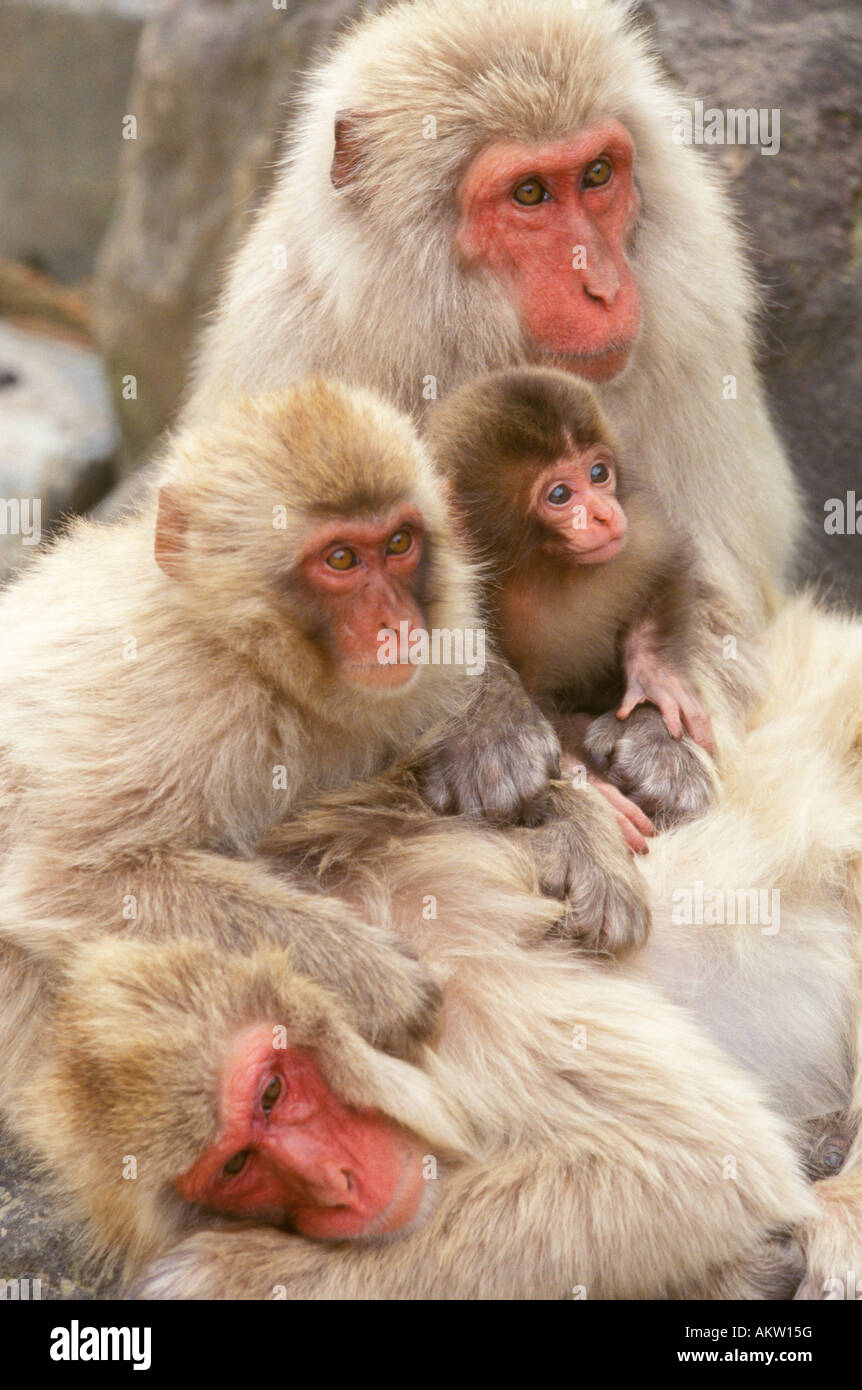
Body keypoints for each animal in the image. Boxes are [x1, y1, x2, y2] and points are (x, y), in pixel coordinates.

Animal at [425, 367, 720, 850]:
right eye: (560, 495)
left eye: (599, 472)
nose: (603, 514)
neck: (547, 567)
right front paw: (590, 783)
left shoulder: (635, 535)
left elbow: (668, 568)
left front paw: (655, 679)